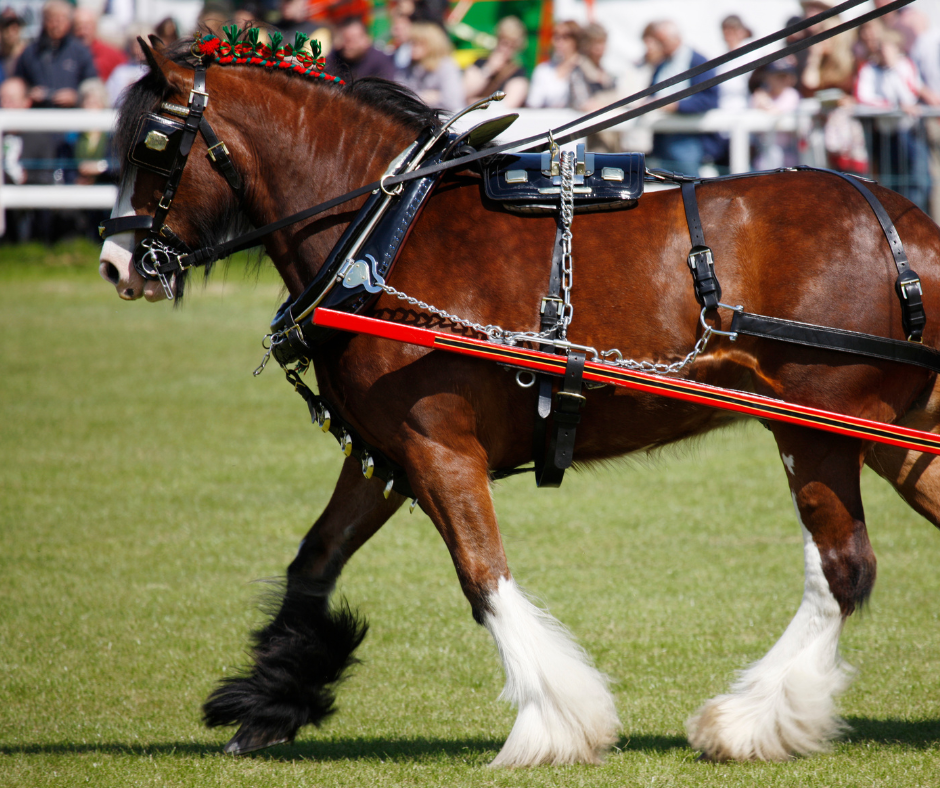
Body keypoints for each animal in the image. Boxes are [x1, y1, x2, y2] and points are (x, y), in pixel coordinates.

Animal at [98, 35, 940, 766]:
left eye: (152, 146)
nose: (115, 263)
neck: (383, 233)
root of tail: (909, 230)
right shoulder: (387, 453)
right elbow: (315, 558)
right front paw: (271, 700)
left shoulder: (440, 447)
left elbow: (483, 576)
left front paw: (558, 723)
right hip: (893, 439)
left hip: (820, 429)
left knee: (844, 569)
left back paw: (745, 721)